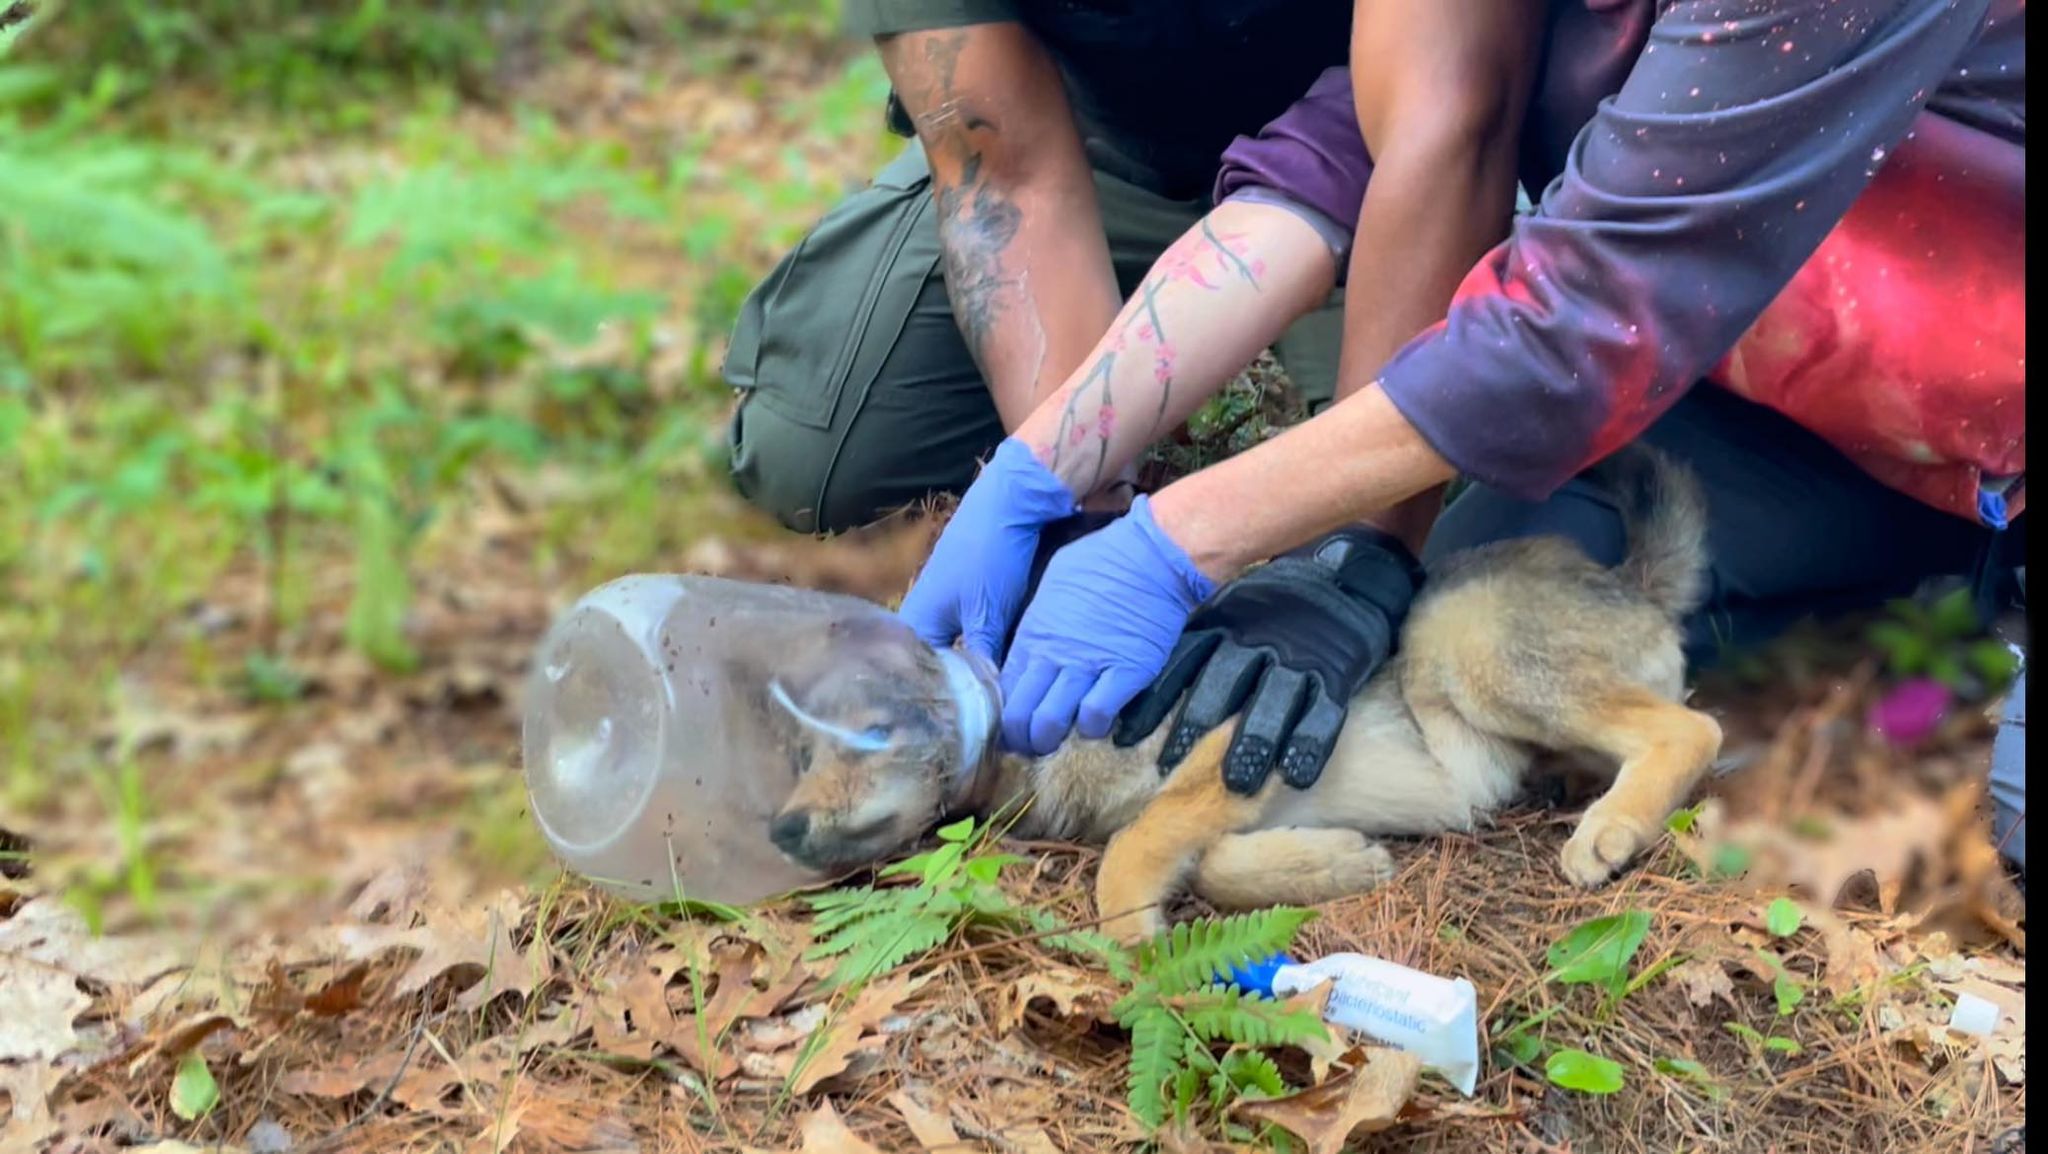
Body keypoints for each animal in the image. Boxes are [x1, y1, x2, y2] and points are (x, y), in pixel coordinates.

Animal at [739, 443, 1723, 945]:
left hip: (1464, 641)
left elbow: (1132, 847)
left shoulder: (1232, 734)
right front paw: (1335, 865)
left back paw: (1610, 828)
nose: (780, 829)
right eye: (801, 751)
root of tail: (1634, 581)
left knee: (1690, 730)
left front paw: (1129, 927)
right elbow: (1203, 857)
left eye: (873, 732)